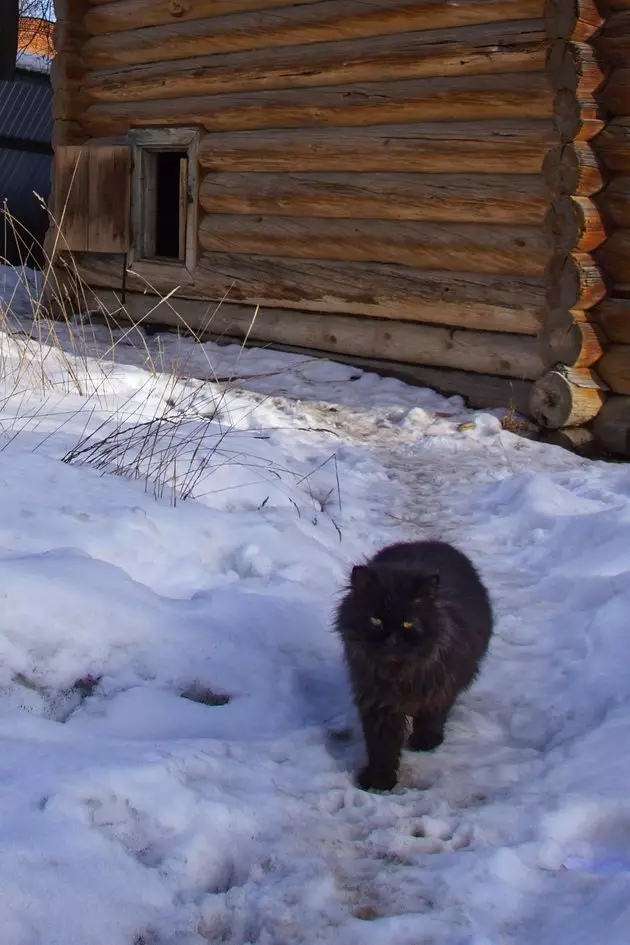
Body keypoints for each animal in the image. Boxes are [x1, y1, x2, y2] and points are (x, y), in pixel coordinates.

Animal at [338, 540, 496, 788]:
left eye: (409, 623)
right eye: (375, 620)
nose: (392, 641)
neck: (400, 676)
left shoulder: (440, 686)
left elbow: (432, 715)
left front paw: (425, 741)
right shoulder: (378, 702)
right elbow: (382, 745)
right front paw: (379, 780)